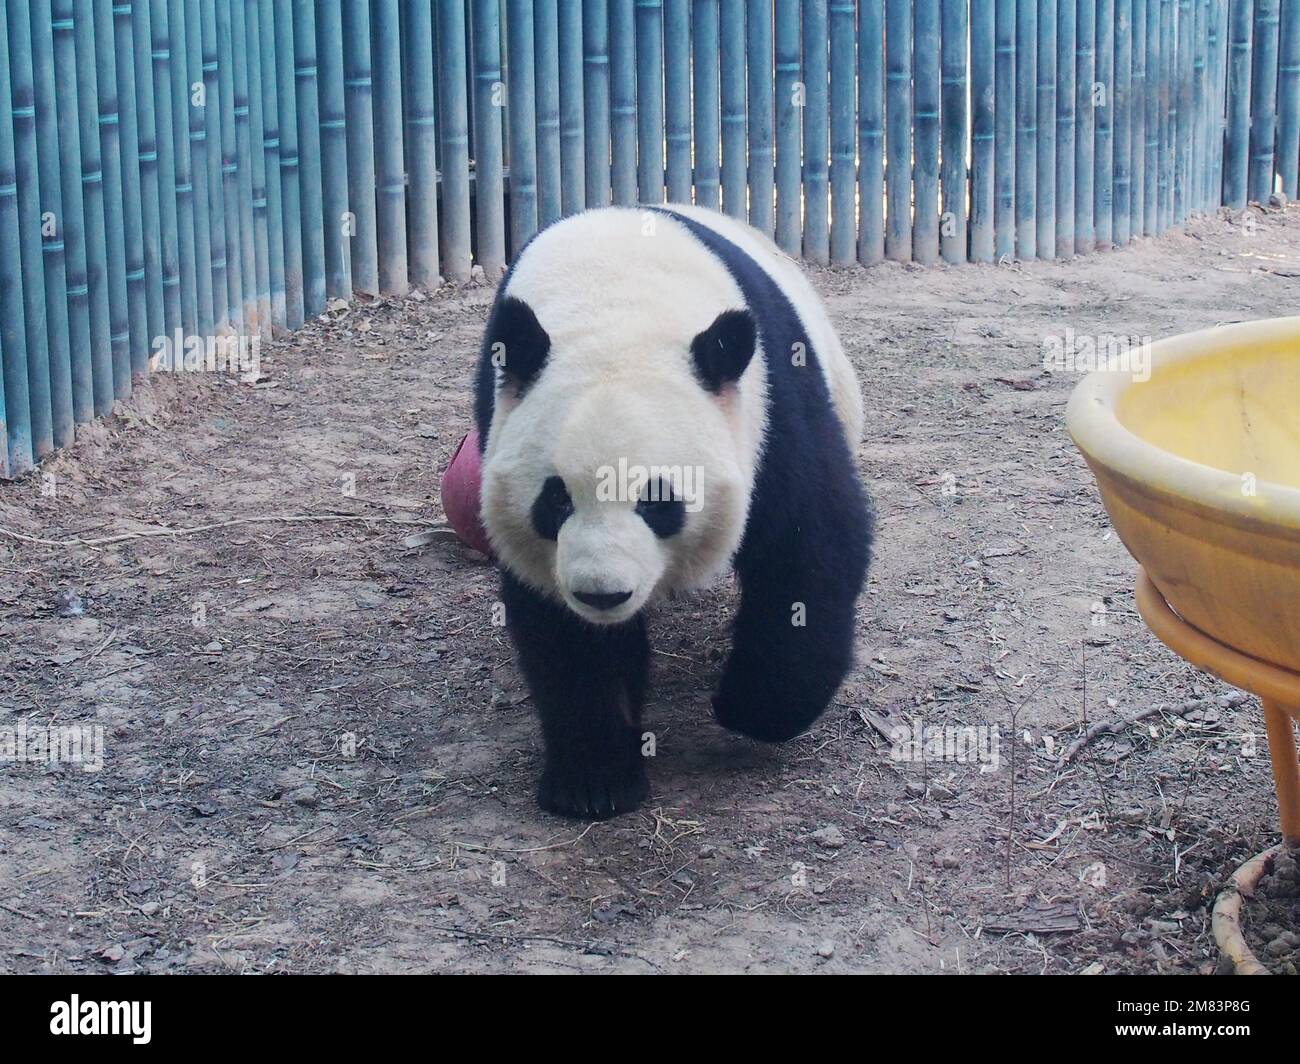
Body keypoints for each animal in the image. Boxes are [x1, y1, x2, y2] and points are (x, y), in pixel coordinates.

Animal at [473, 204, 873, 819]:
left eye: (656, 500)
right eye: (556, 499)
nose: (603, 593)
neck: (616, 302)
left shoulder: (771, 414)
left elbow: (809, 550)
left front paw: (751, 708)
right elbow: (562, 626)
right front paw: (594, 781)